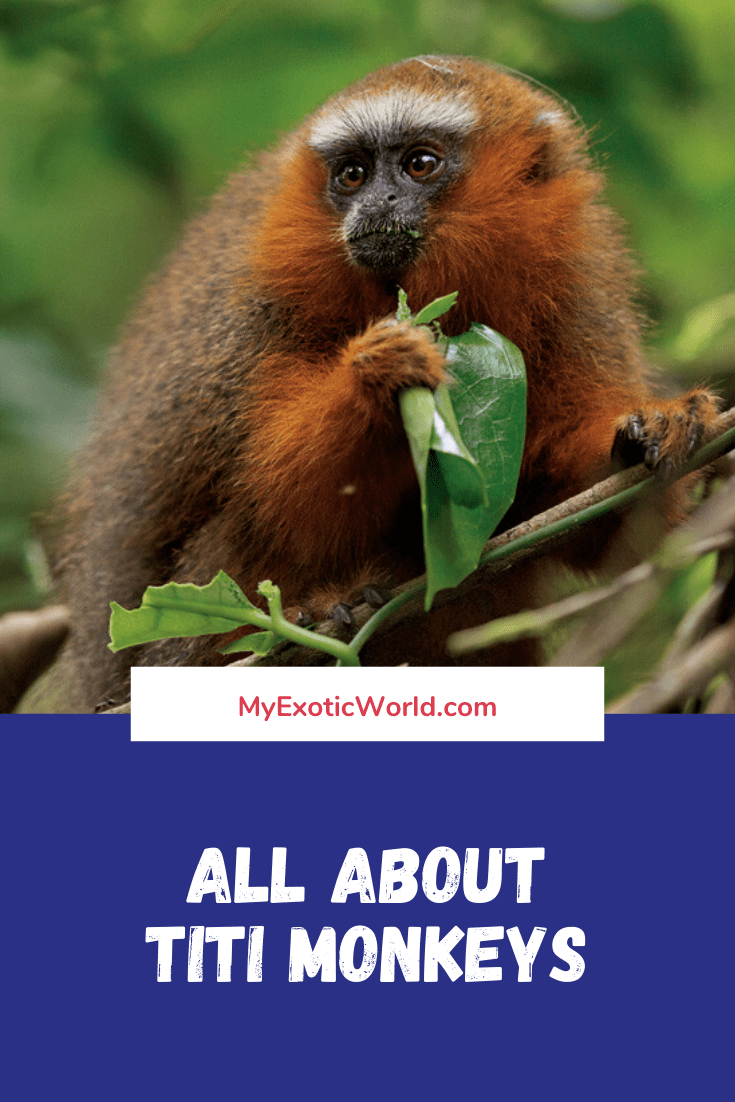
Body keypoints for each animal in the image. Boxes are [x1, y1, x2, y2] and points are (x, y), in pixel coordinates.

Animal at [54, 55, 720, 711]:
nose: (377, 201)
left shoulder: (575, 292)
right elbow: (283, 501)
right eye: (352, 174)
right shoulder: (255, 315)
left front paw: (647, 432)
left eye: (419, 164)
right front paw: (378, 373)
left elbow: (586, 524)